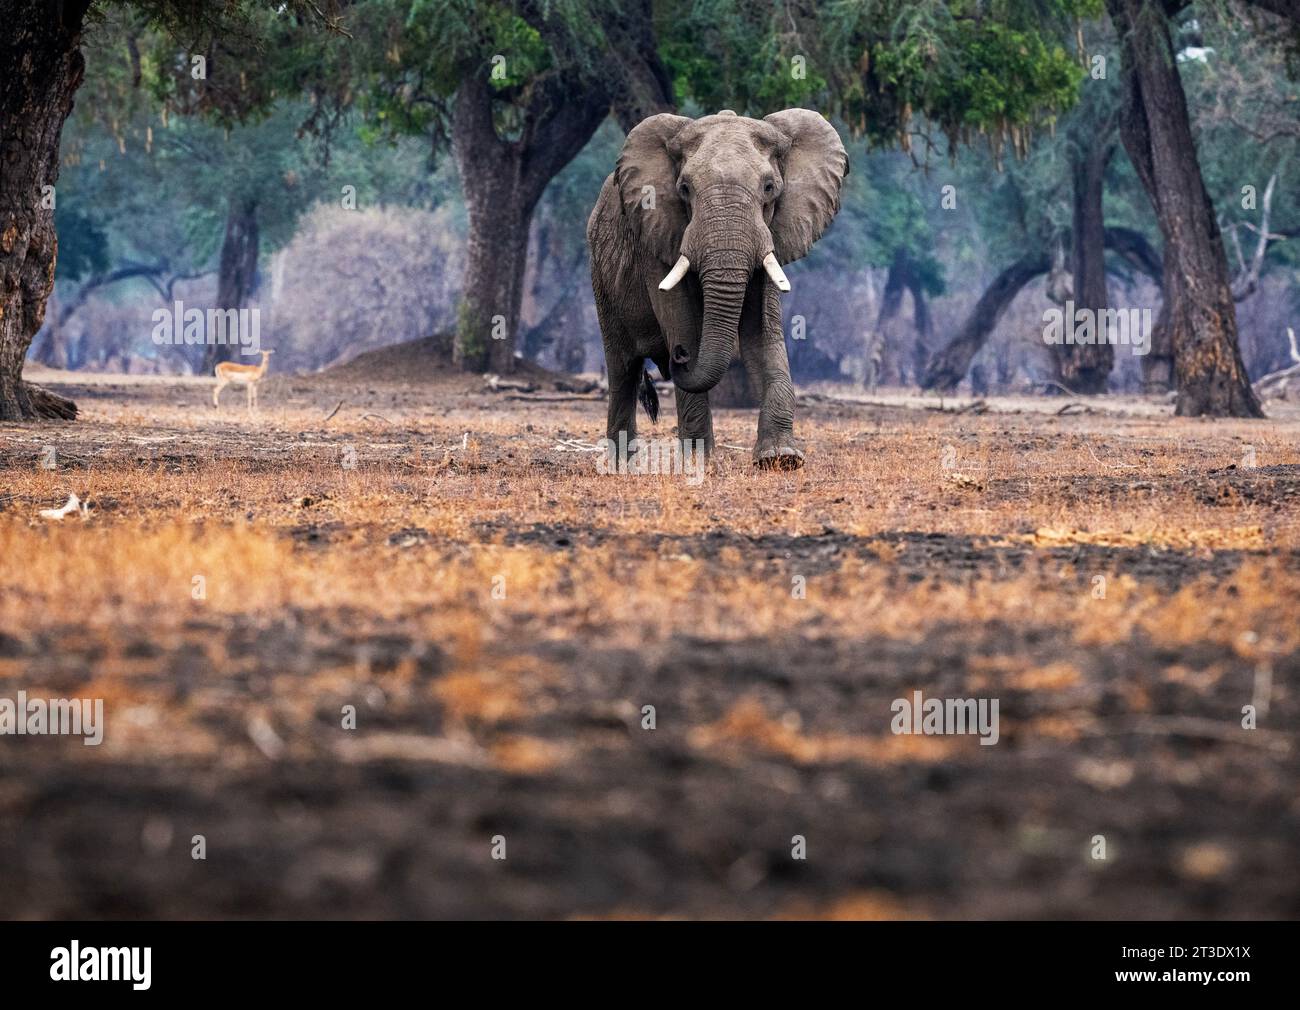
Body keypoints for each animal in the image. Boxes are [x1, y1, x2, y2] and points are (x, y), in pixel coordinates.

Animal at [586, 108, 849, 470]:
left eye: (769, 187)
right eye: (684, 189)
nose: (678, 355)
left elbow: (762, 334)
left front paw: (780, 459)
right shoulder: (657, 235)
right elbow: (682, 322)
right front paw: (699, 463)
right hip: (601, 277)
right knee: (623, 369)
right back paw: (621, 466)